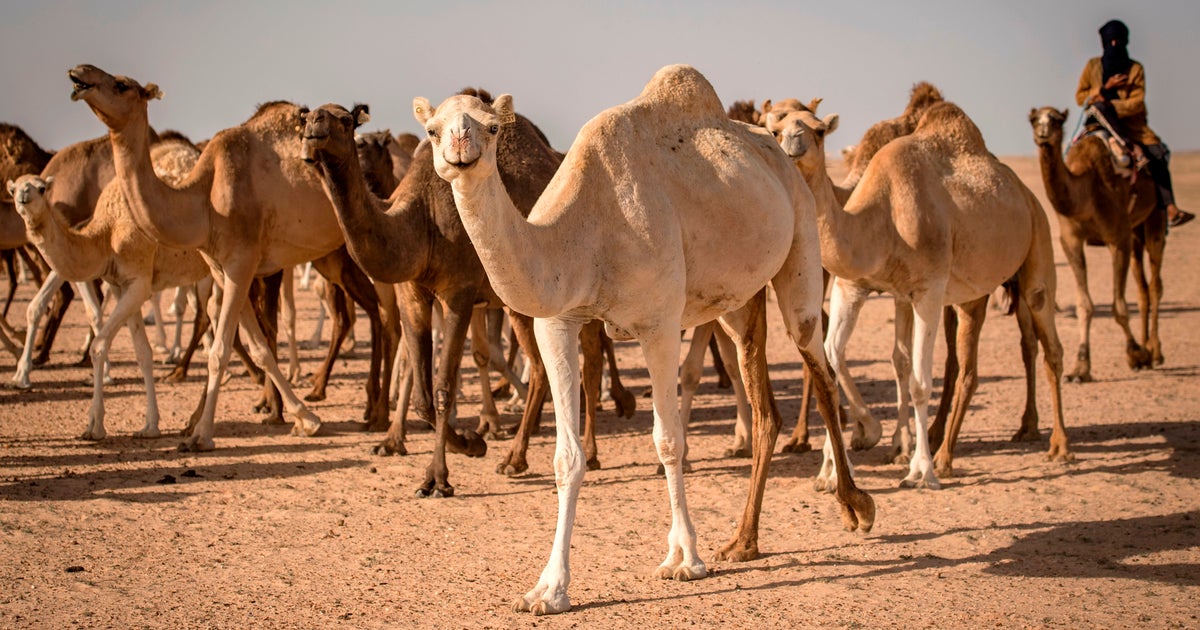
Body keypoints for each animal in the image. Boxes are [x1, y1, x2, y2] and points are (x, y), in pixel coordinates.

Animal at [8, 133, 209, 439]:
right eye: (15, 188)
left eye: (41, 188)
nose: (23, 197)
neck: (106, 233)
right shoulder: (119, 284)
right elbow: (142, 352)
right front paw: (150, 425)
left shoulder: (139, 282)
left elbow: (100, 344)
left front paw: (95, 426)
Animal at [68, 63, 369, 450]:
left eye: (121, 85)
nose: (80, 73)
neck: (202, 201)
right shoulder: (223, 269)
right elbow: (258, 347)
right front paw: (307, 419)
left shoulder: (242, 263)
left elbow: (220, 349)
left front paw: (203, 435)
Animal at [415, 64, 873, 614]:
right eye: (432, 130)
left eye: (491, 127)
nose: (461, 147)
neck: (583, 234)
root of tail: (775, 150)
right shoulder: (557, 322)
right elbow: (566, 458)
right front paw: (548, 589)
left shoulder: (659, 323)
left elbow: (669, 441)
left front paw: (686, 560)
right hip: (737, 299)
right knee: (766, 404)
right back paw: (744, 541)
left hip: (802, 238)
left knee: (816, 359)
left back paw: (855, 506)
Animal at [762, 96, 1071, 488]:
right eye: (775, 130)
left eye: (818, 130)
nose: (793, 144)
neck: (879, 219)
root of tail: (1025, 192)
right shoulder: (852, 288)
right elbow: (835, 363)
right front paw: (831, 471)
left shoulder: (928, 290)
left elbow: (921, 383)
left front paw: (920, 471)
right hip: (972, 292)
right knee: (972, 360)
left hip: (1038, 241)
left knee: (1048, 340)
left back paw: (1054, 447)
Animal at [1028, 107, 1163, 382]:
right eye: (1034, 120)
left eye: (1056, 120)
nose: (1043, 133)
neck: (1087, 191)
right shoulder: (1071, 240)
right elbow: (1085, 305)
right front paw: (1080, 367)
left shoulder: (1118, 238)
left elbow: (1119, 306)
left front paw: (1135, 355)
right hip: (1136, 232)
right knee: (1143, 289)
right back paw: (1147, 346)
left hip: (1155, 218)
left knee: (1155, 284)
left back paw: (1154, 351)